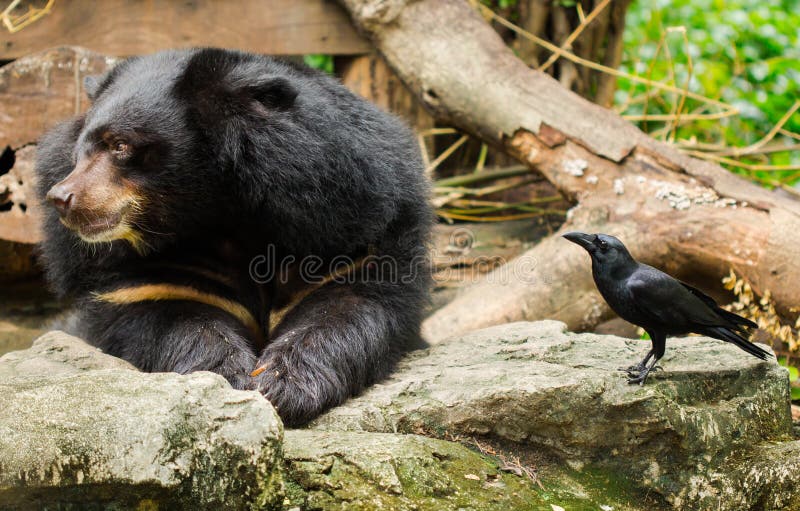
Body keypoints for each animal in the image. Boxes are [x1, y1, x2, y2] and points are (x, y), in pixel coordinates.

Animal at [35, 48, 432, 426]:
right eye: (80, 150)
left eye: (119, 145)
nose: (62, 198)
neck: (218, 212)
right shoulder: (142, 270)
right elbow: (169, 317)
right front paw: (231, 376)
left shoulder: (351, 227)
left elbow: (344, 308)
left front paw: (281, 384)